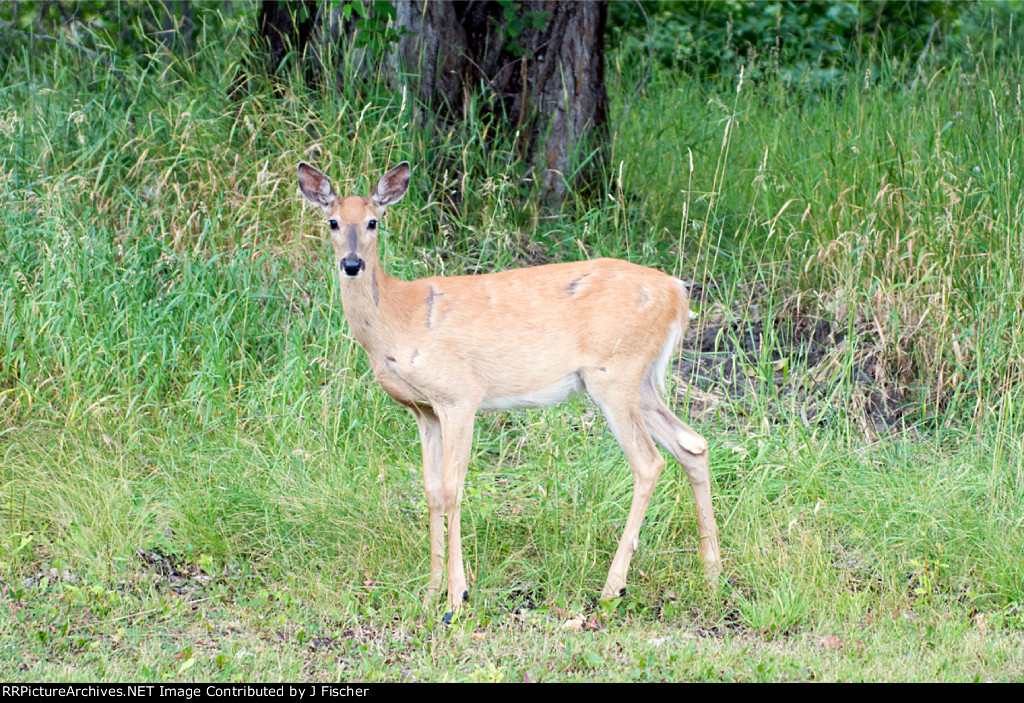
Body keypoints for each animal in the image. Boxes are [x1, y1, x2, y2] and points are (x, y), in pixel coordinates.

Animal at [297, 160, 722, 619]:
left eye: (374, 221)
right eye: (333, 221)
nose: (352, 263)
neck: (397, 317)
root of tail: (678, 293)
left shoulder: (460, 394)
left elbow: (452, 489)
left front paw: (456, 598)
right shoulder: (423, 410)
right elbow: (430, 492)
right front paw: (429, 593)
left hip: (615, 372)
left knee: (649, 462)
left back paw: (612, 589)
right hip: (637, 381)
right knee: (692, 444)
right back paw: (711, 573)